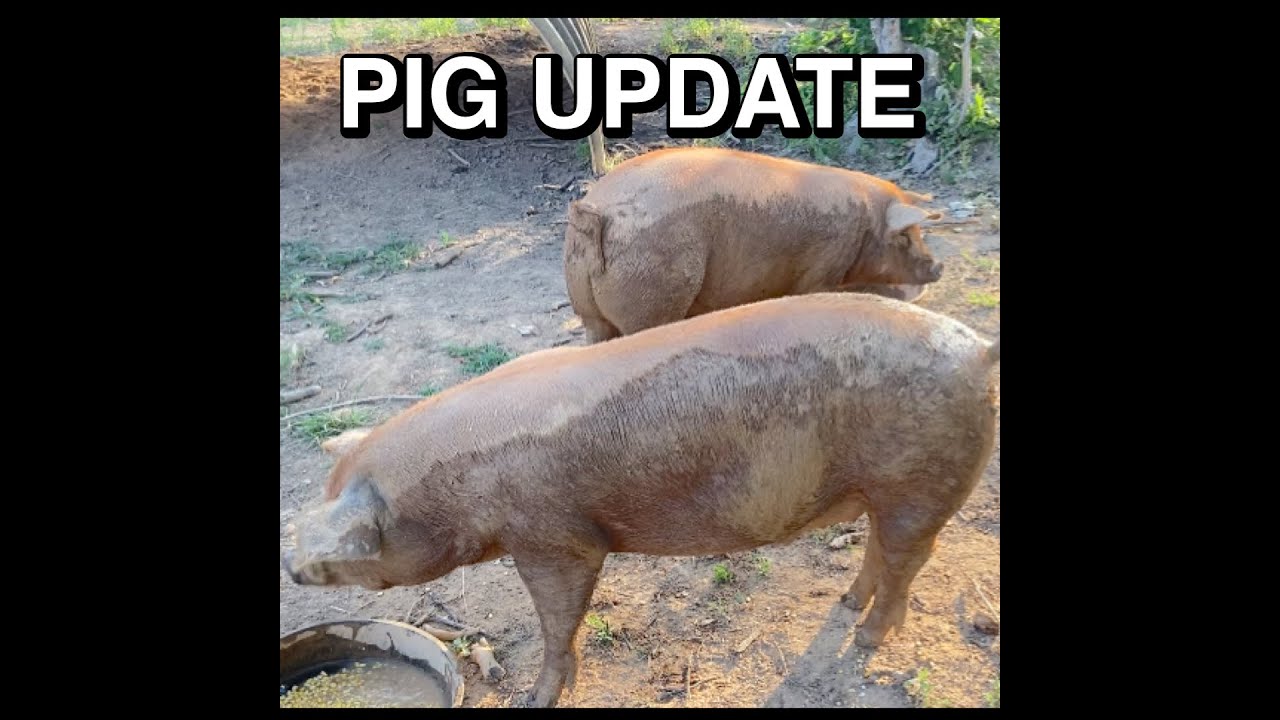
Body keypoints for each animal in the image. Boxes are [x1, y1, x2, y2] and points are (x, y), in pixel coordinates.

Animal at [282, 292, 1001, 708]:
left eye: (339, 557)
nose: (292, 562)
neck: (450, 490)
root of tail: (978, 348)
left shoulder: (554, 536)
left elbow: (558, 616)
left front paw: (536, 699)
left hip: (919, 480)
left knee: (908, 560)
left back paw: (867, 637)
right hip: (887, 486)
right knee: (881, 550)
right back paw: (849, 604)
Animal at [563, 147, 945, 343]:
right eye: (904, 235)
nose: (938, 266)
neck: (867, 225)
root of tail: (594, 212)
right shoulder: (823, 268)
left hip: (588, 310)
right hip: (653, 290)